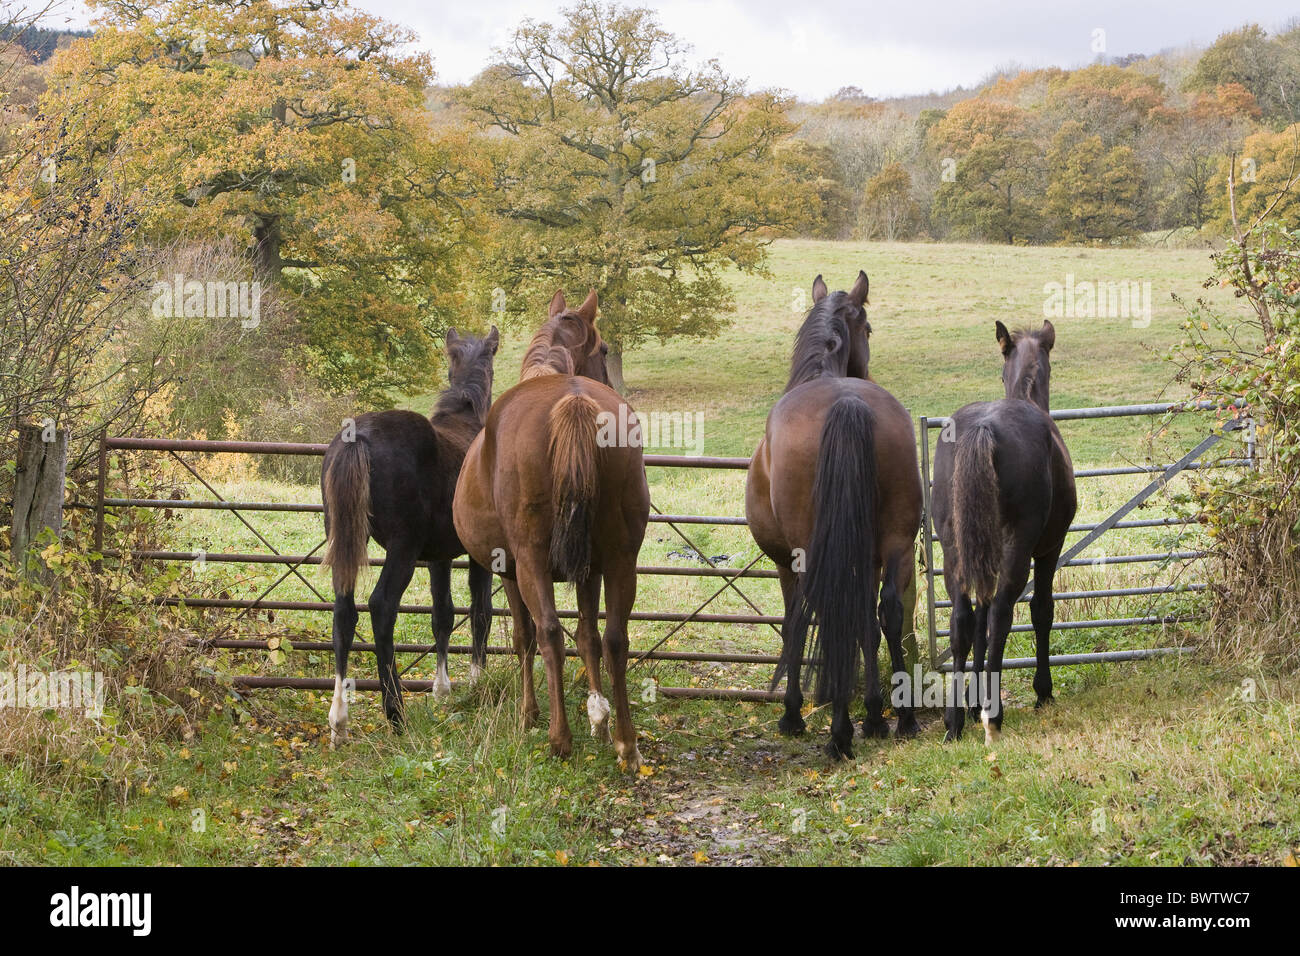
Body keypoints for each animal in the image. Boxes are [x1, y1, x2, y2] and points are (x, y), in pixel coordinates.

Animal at [320, 327, 499, 748]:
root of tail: (356, 438)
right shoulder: (475, 554)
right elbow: (480, 611)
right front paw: (475, 682)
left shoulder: (439, 555)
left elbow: (443, 614)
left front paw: (442, 690)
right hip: (402, 550)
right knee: (381, 606)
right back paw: (395, 713)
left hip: (343, 540)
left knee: (343, 613)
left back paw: (339, 721)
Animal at [453, 290, 650, 772]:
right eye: (604, 350)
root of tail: (572, 400)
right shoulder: (590, 569)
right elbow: (589, 635)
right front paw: (599, 715)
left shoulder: (509, 570)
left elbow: (526, 638)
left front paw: (530, 714)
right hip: (622, 559)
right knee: (615, 638)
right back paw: (626, 742)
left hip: (530, 563)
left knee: (548, 634)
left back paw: (559, 738)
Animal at [746, 272, 923, 760]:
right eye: (870, 330)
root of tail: (848, 401)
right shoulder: (873, 555)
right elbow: (868, 624)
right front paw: (876, 714)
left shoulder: (786, 562)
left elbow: (792, 623)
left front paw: (793, 714)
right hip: (897, 543)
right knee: (886, 611)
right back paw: (902, 719)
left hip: (812, 551)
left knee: (828, 614)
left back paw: (840, 732)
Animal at [931, 320, 1077, 745]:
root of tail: (984, 427)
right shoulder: (1049, 549)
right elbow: (1042, 611)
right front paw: (1042, 691)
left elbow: (977, 625)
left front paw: (970, 700)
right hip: (1019, 548)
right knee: (1001, 614)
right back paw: (993, 717)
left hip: (955, 549)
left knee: (963, 620)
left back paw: (954, 722)